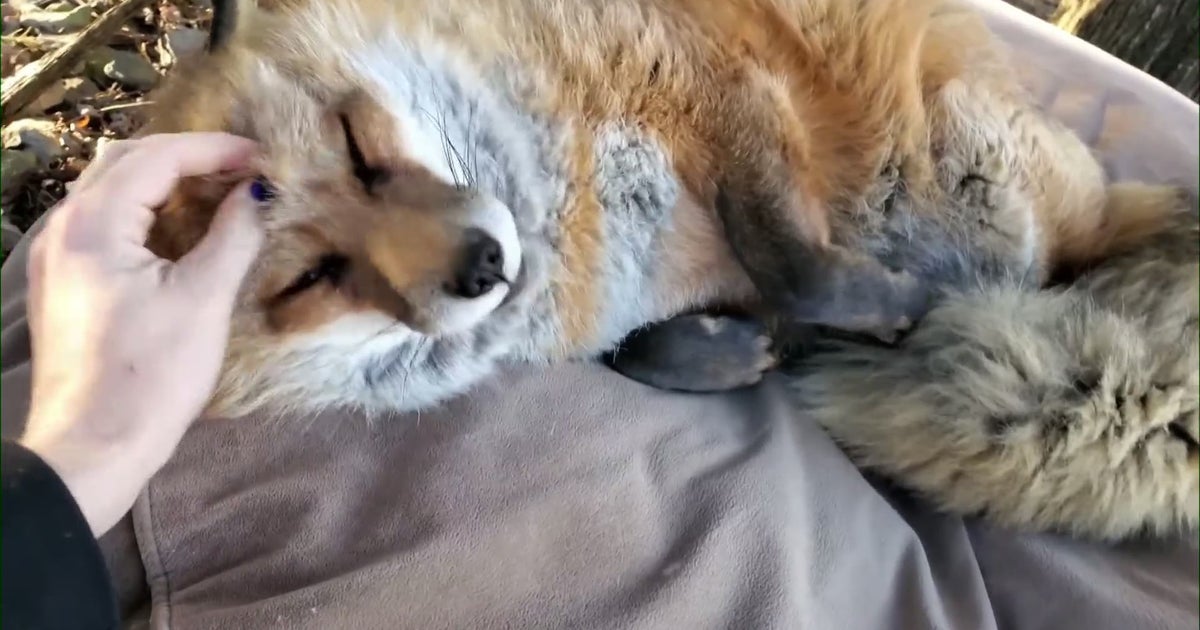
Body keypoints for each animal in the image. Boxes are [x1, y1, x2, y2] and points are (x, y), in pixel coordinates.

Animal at [136, 0, 1197, 541]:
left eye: (359, 148)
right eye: (307, 280)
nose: (481, 266)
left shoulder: (721, 82)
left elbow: (795, 262)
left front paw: (886, 303)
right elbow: (647, 351)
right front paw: (724, 353)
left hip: (989, 176)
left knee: (1082, 250)